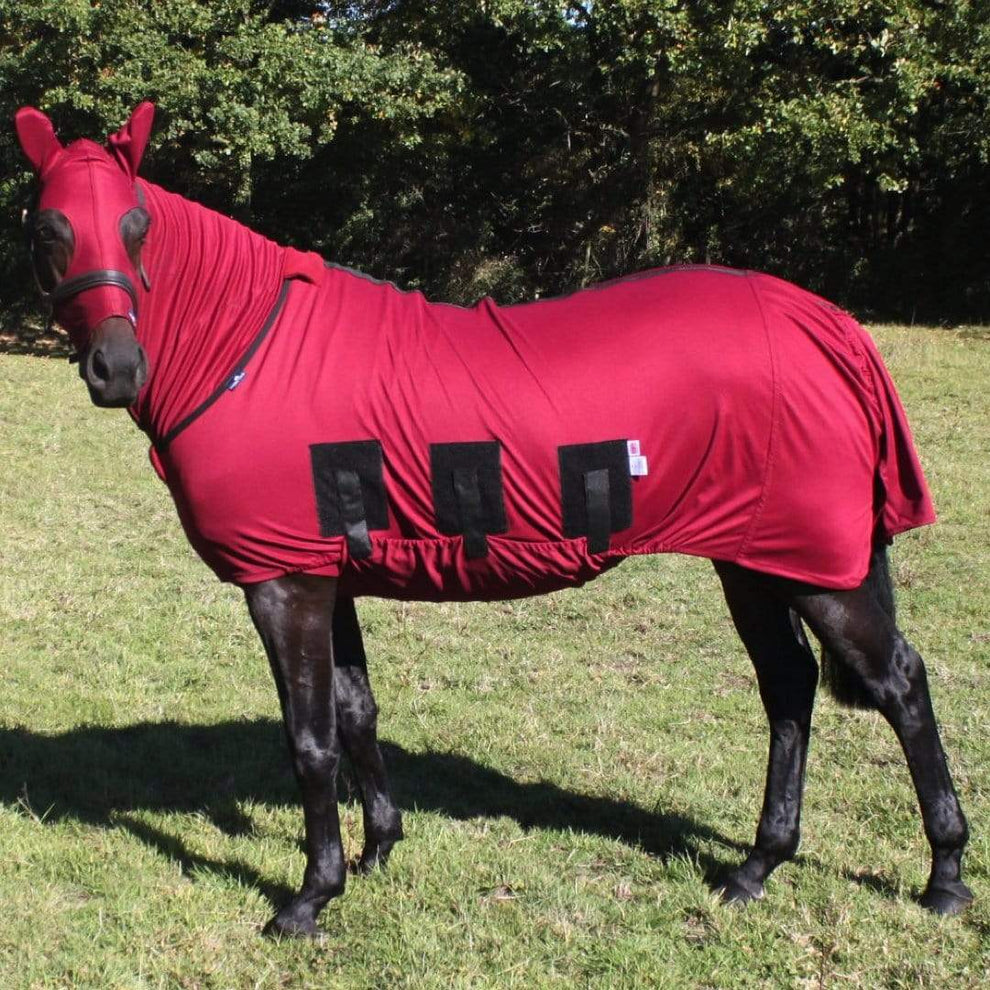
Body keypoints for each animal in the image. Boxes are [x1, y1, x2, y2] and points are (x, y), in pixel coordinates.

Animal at [14, 102, 972, 937]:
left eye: (137, 223)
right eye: (50, 226)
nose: (116, 367)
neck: (250, 350)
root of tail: (819, 321)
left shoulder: (285, 584)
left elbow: (311, 741)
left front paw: (310, 897)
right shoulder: (333, 578)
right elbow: (357, 712)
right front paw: (378, 852)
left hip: (819, 569)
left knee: (899, 685)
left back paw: (945, 876)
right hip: (754, 560)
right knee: (788, 688)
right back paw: (758, 866)